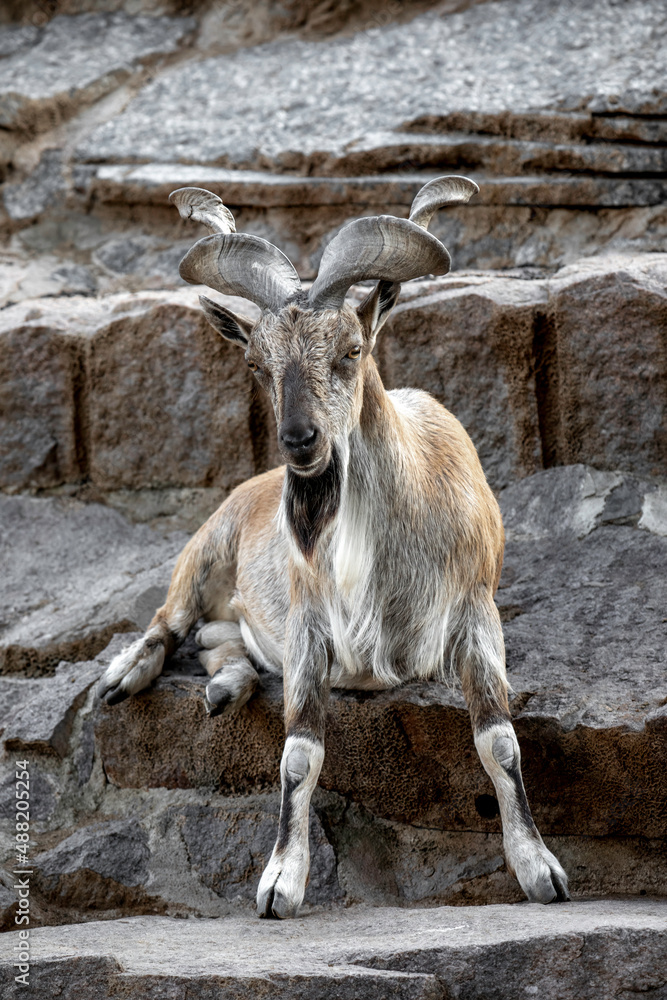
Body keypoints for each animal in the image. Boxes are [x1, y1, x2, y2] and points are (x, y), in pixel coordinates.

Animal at [97, 177, 569, 917]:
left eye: (351, 349)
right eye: (257, 362)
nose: (300, 442)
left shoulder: (475, 612)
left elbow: (499, 741)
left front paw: (540, 870)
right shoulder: (308, 625)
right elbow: (299, 753)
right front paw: (279, 883)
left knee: (213, 637)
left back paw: (225, 686)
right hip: (206, 550)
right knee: (170, 623)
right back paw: (126, 677)